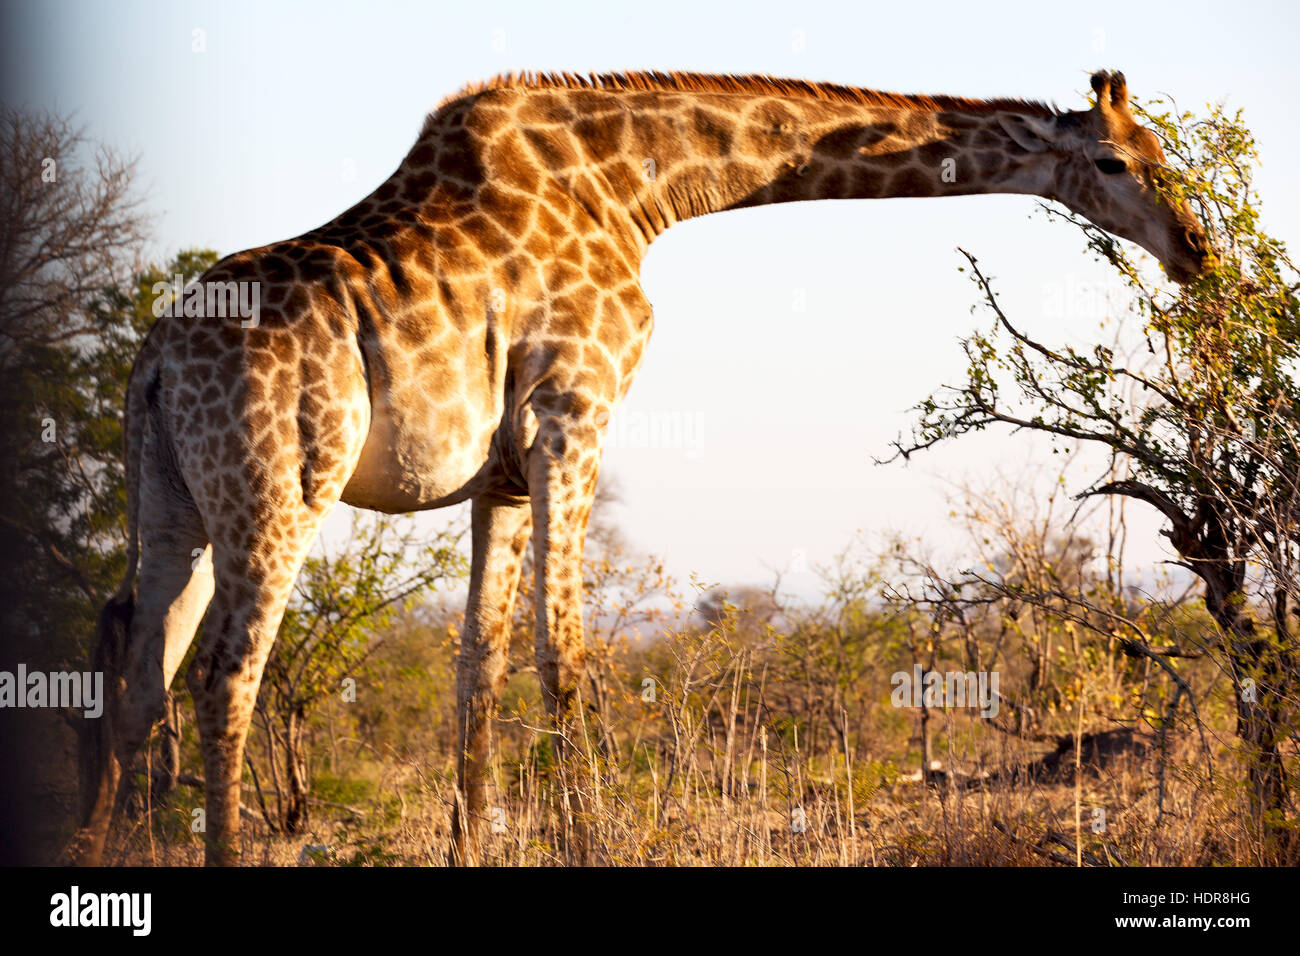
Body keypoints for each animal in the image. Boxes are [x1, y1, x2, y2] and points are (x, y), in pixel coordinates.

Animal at [71, 68, 1211, 866]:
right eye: (1116, 163)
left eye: (1162, 148)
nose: (1195, 249)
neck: (636, 188)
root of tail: (156, 358)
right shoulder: (573, 413)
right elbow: (565, 658)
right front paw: (585, 839)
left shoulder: (502, 471)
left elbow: (480, 667)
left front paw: (475, 844)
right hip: (282, 489)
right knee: (226, 672)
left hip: (173, 507)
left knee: (135, 665)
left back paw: (101, 850)